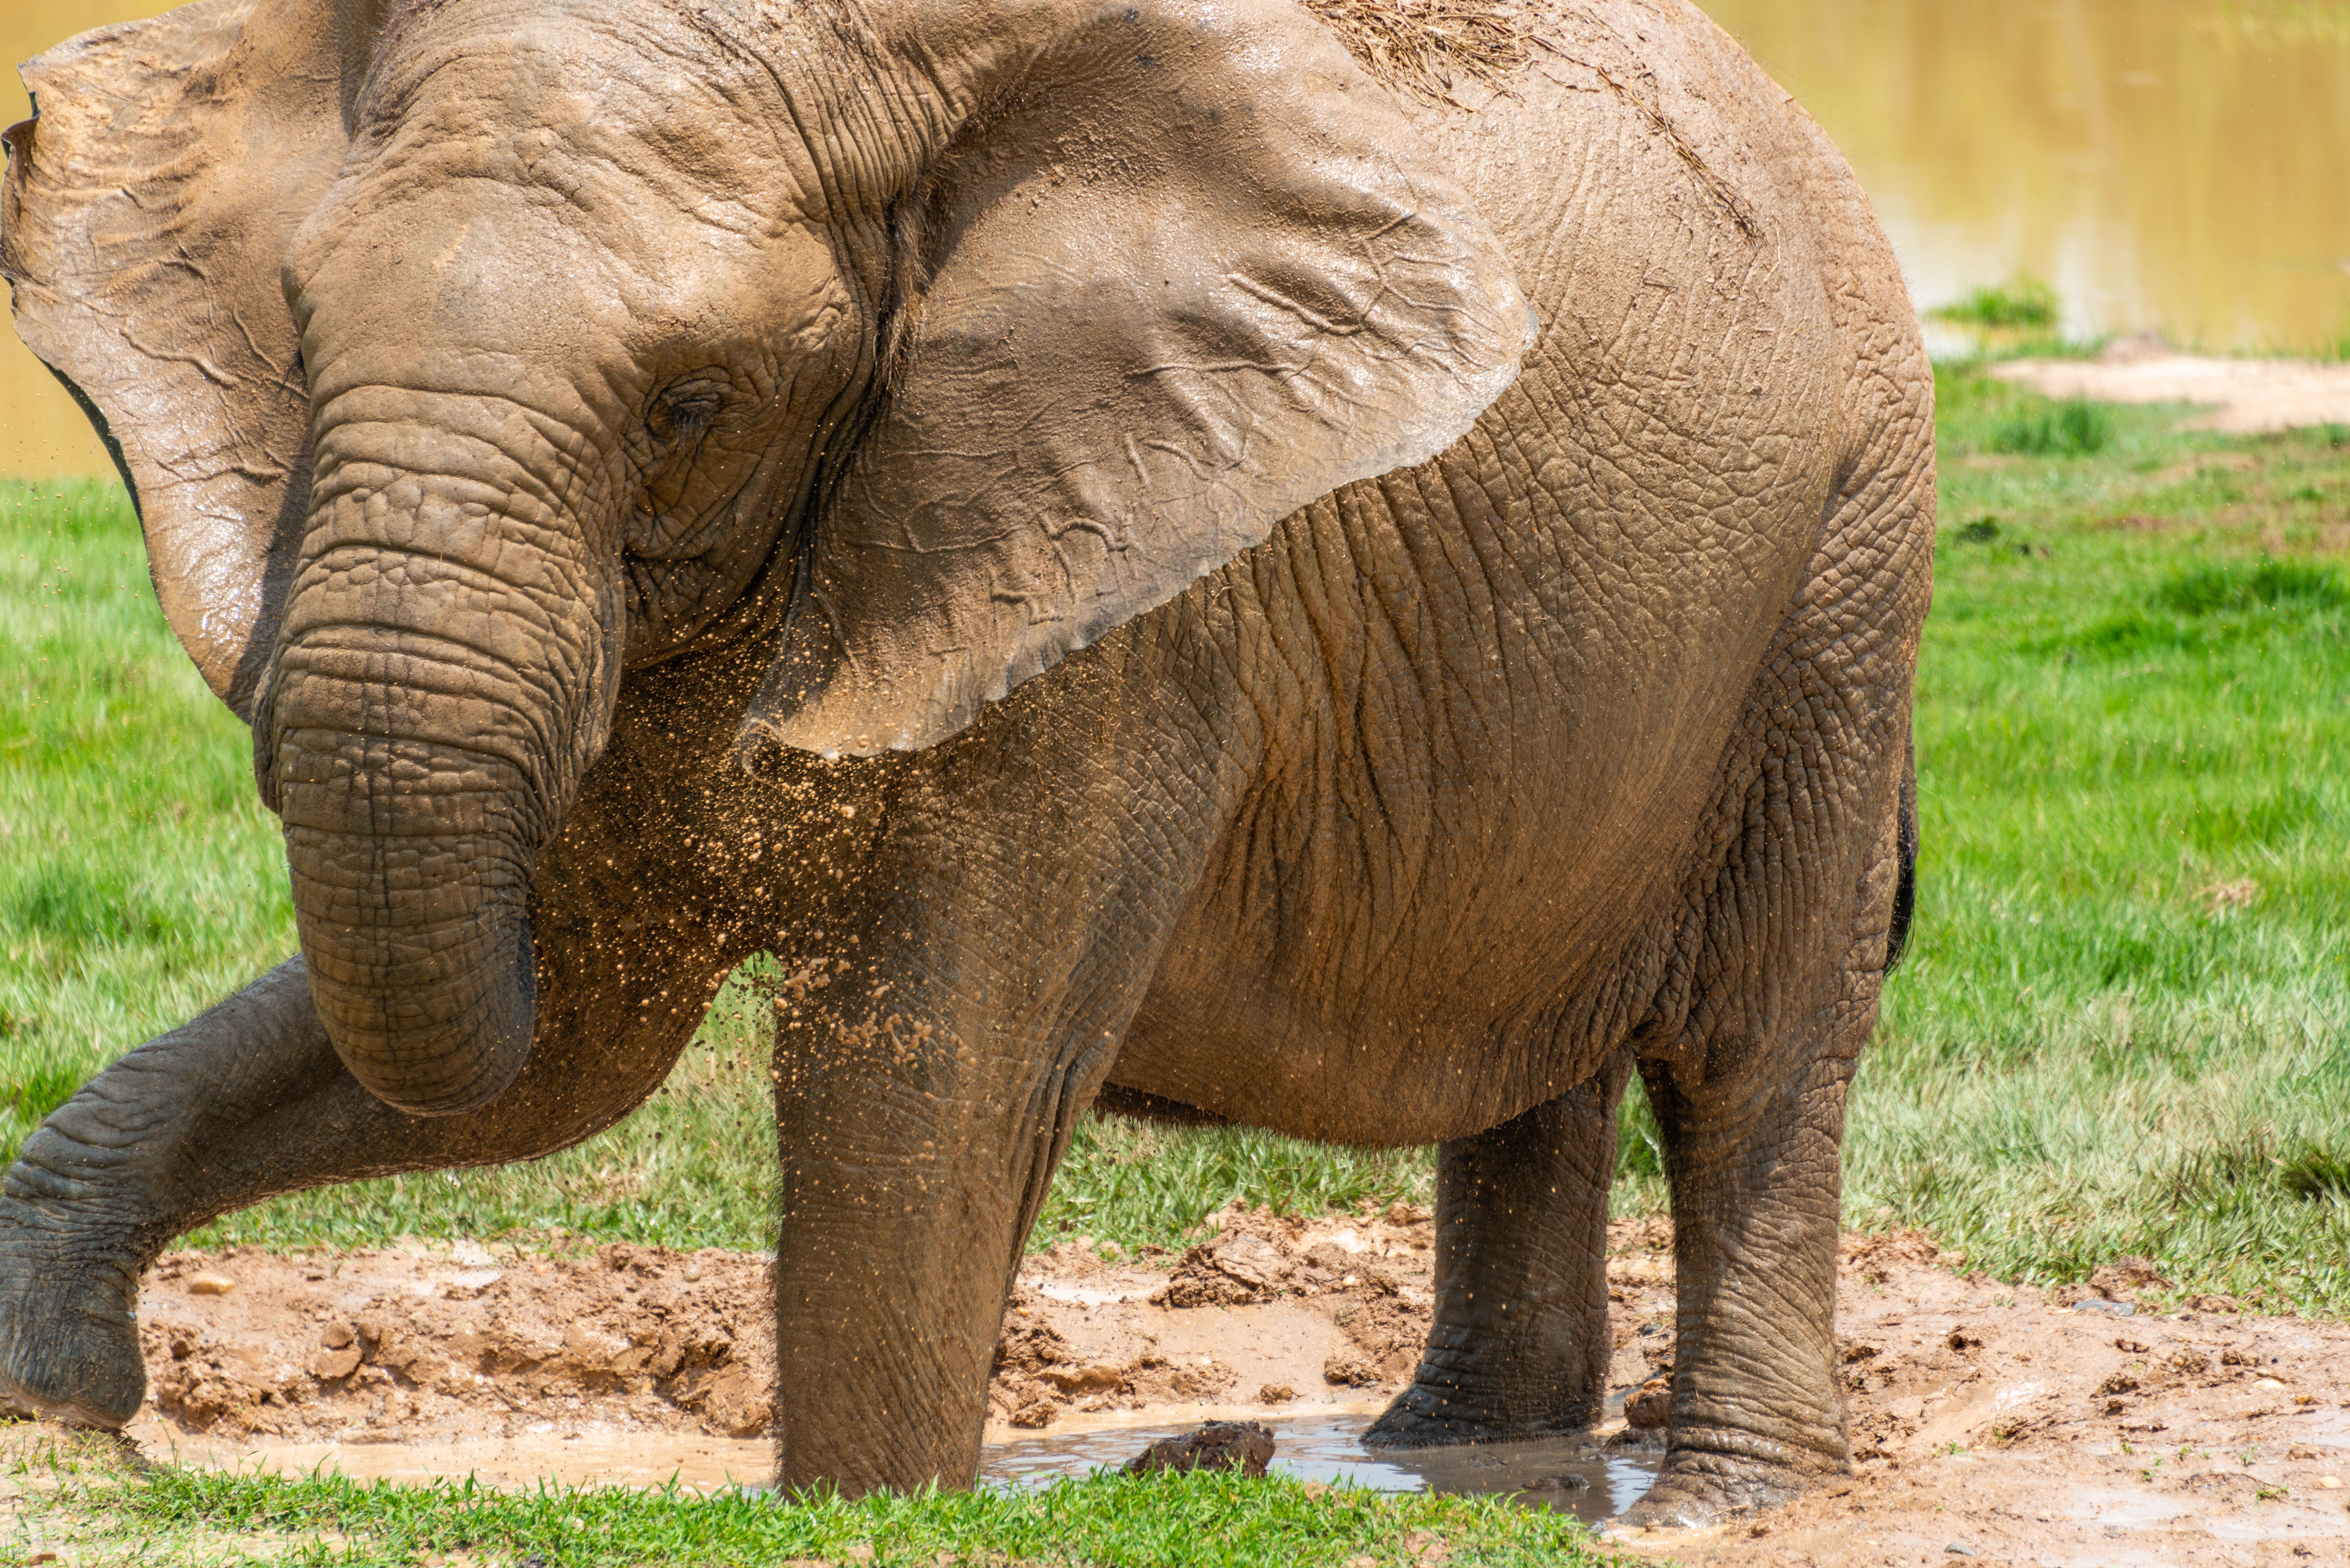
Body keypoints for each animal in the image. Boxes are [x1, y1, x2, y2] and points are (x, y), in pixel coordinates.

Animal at [0, 0, 1931, 1524]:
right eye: (300, 330)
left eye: (691, 401)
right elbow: (561, 1039)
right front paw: (54, 1392)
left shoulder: (1127, 574)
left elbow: (922, 1076)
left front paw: (863, 1510)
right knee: (1536, 1057)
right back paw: (1447, 1456)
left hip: (1840, 574)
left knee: (1747, 1051)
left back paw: (1715, 1503)